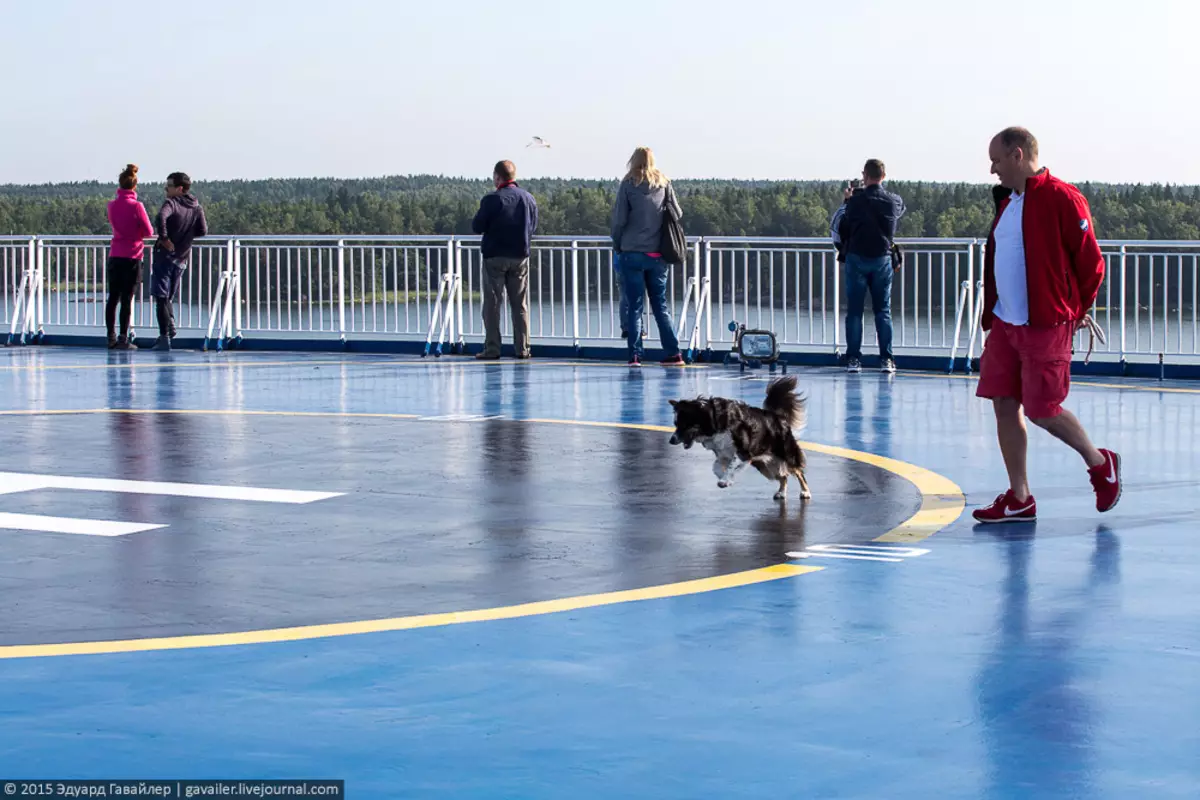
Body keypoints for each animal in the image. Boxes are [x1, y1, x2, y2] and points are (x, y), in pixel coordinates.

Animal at [672, 376, 811, 501]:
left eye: (684, 425)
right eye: (675, 424)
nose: (671, 440)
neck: (715, 420)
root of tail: (777, 416)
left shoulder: (743, 452)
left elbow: (731, 465)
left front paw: (725, 480)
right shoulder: (724, 454)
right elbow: (716, 467)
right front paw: (725, 479)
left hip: (786, 454)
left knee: (798, 472)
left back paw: (805, 492)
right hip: (763, 464)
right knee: (783, 475)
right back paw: (781, 493)